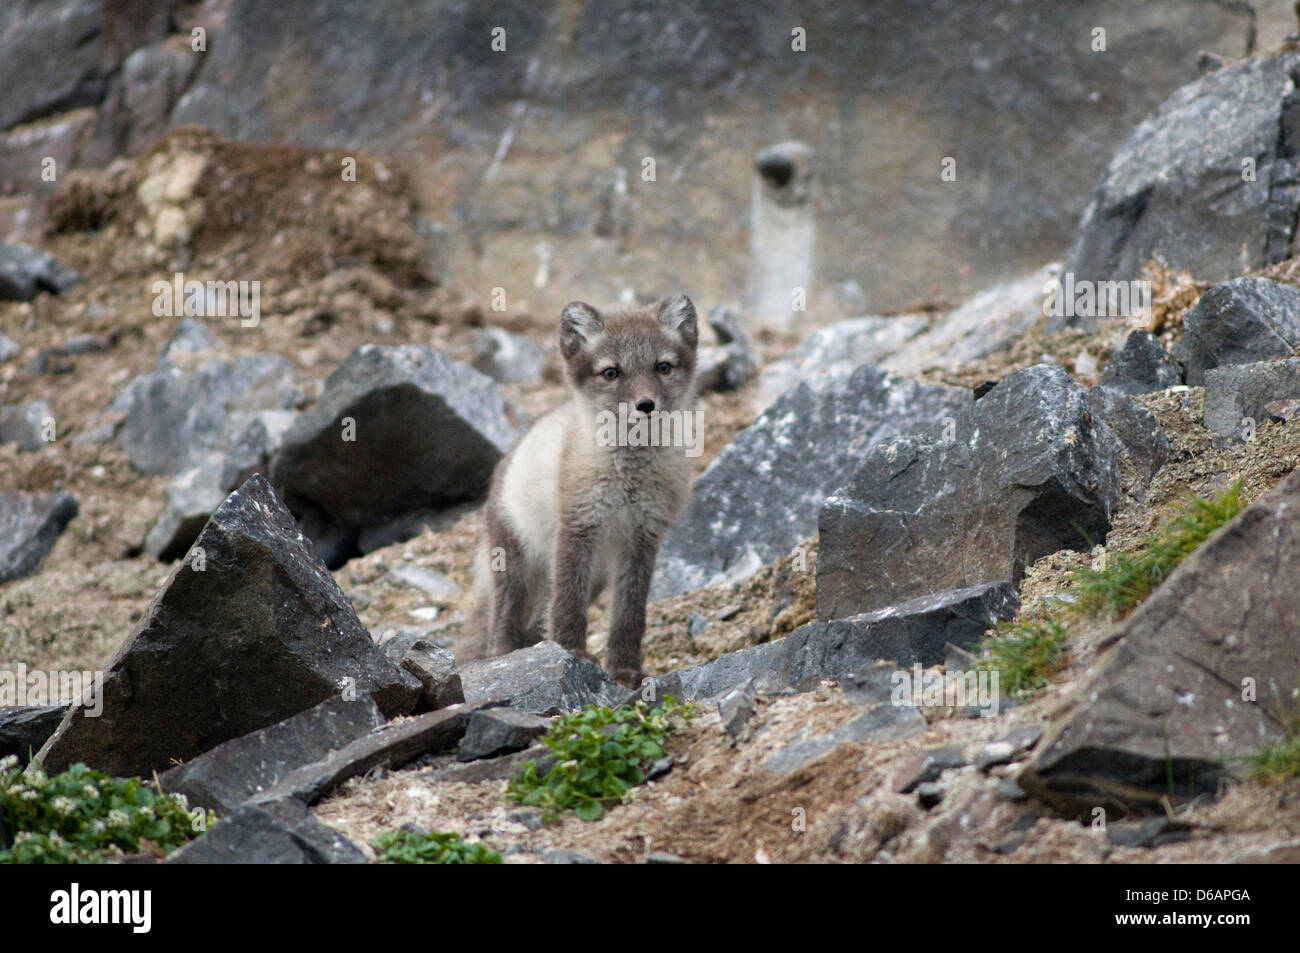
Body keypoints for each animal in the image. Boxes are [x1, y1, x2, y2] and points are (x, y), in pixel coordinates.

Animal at [469, 294, 700, 687]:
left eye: (663, 367)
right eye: (611, 372)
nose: (646, 405)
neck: (629, 477)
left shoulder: (642, 538)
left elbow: (629, 615)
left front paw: (625, 671)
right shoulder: (577, 526)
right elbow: (567, 603)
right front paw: (571, 651)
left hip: (596, 576)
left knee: (537, 619)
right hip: (514, 561)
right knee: (505, 618)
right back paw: (502, 657)